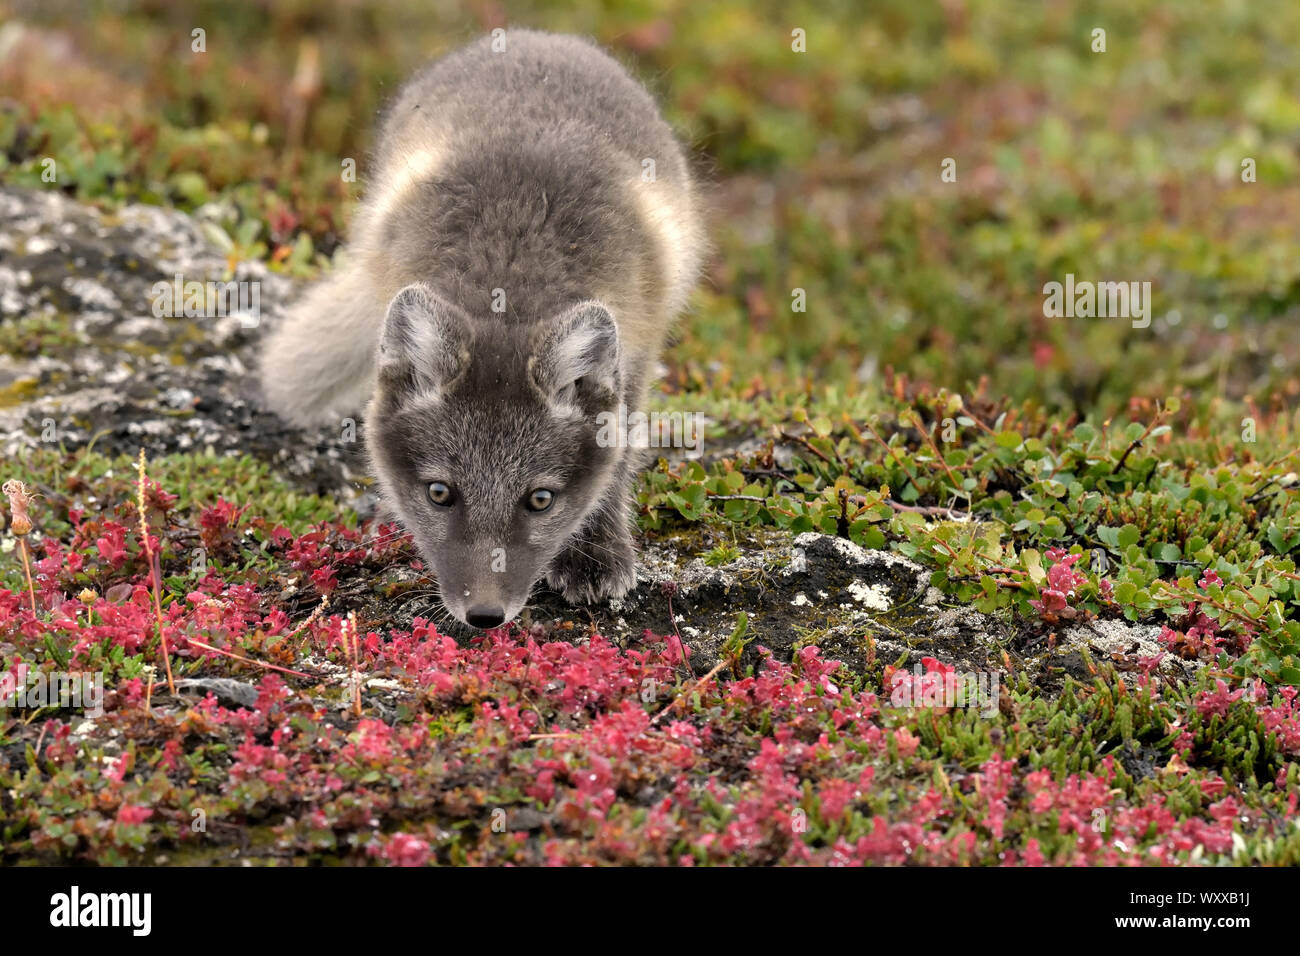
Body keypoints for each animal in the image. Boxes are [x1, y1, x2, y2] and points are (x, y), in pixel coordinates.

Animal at [259, 30, 705, 631]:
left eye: (540, 499)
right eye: (439, 493)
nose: (486, 616)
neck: (508, 282)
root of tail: (537, 35)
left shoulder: (637, 353)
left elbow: (616, 460)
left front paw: (595, 556)